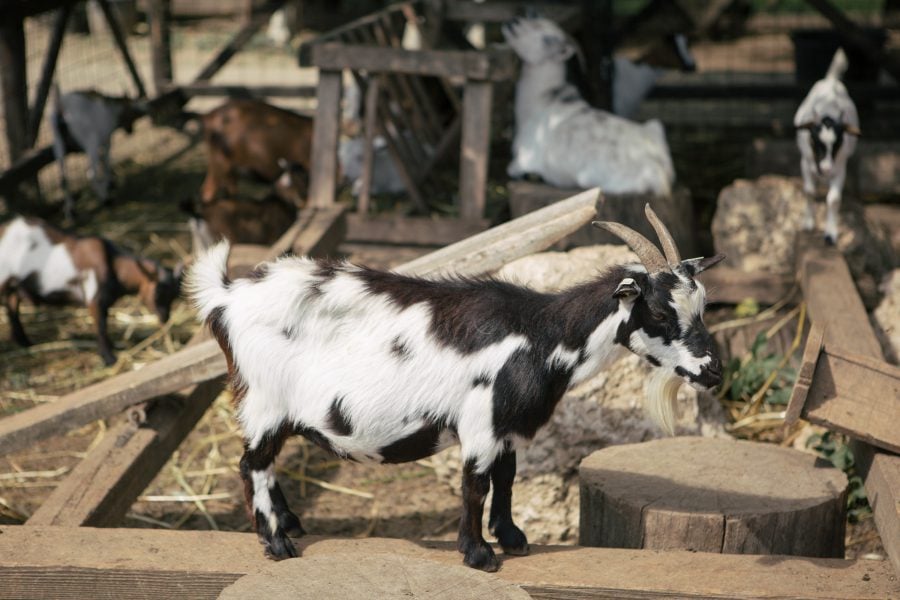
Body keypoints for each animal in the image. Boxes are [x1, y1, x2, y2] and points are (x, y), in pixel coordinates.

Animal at [0, 217, 182, 365]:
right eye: (158, 293)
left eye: (174, 295)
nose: (165, 317)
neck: (114, 264)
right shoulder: (94, 299)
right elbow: (100, 328)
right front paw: (109, 359)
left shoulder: (105, 302)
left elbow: (104, 325)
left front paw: (112, 348)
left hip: (15, 284)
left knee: (12, 304)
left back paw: (24, 341)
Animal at [51, 87, 144, 220]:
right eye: (131, 111)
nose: (130, 130)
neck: (110, 109)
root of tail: (61, 107)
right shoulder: (106, 141)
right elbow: (105, 161)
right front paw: (109, 183)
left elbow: (102, 161)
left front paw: (111, 183)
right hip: (90, 143)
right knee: (91, 174)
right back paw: (105, 199)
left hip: (58, 146)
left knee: (63, 178)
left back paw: (71, 212)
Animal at [187, 205, 725, 571]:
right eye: (660, 313)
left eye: (701, 306)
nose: (714, 371)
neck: (540, 335)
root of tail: (226, 296)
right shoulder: (481, 422)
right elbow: (476, 485)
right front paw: (479, 554)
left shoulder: (506, 427)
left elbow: (506, 479)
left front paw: (513, 539)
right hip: (263, 401)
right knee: (252, 465)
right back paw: (277, 543)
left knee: (265, 465)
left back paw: (290, 523)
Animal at [503, 16, 675, 196]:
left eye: (547, 38)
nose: (511, 22)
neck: (542, 102)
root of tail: (662, 174)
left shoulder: (524, 158)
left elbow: (512, 169)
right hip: (654, 126)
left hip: (590, 177)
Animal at [795, 48, 860, 245]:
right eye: (816, 142)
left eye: (838, 144)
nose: (825, 169)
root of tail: (831, 80)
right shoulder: (805, 162)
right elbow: (809, 191)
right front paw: (808, 223)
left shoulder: (840, 166)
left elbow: (833, 199)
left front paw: (831, 234)